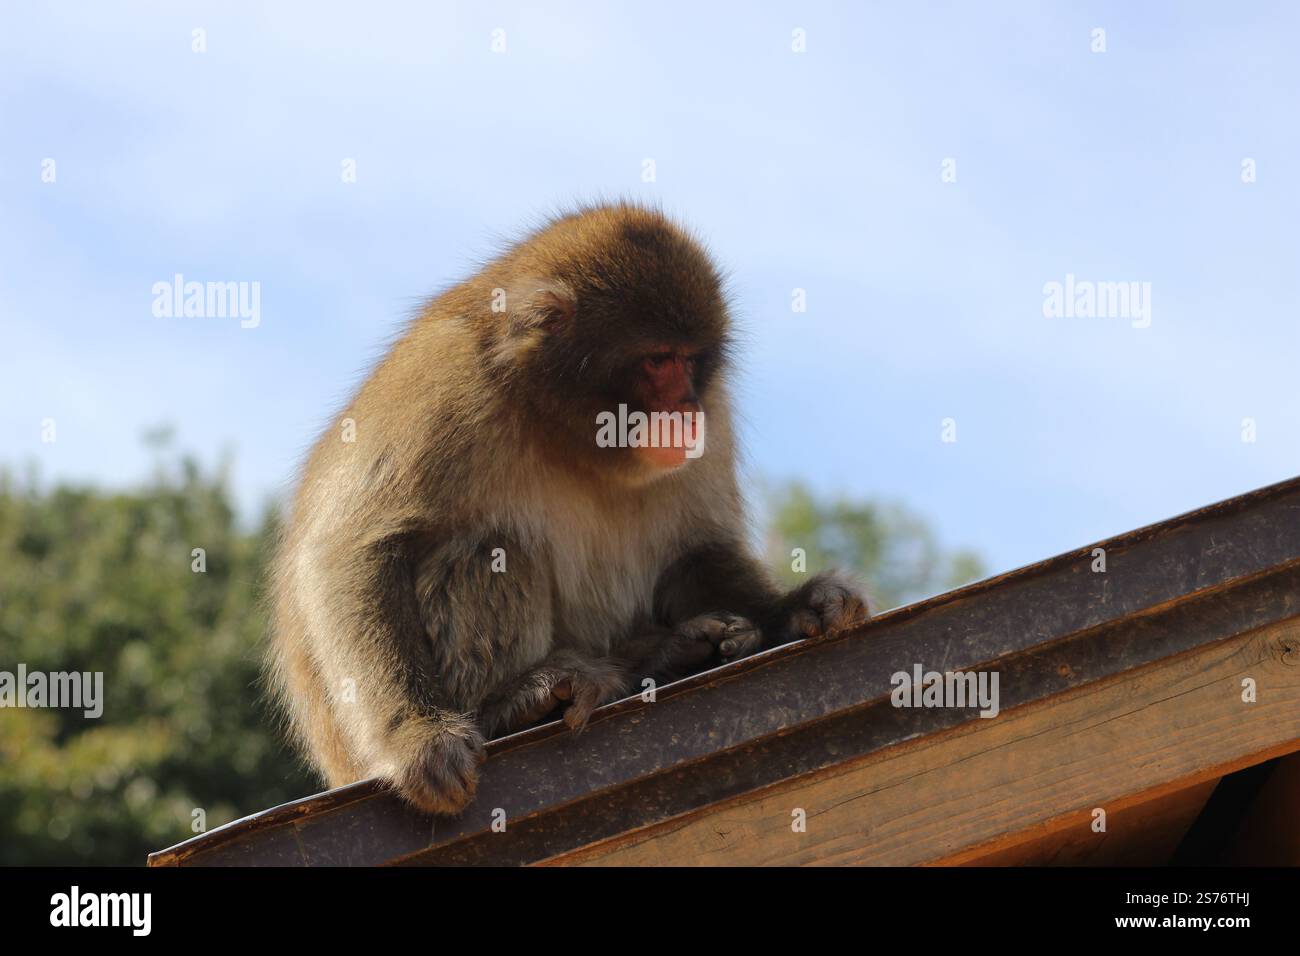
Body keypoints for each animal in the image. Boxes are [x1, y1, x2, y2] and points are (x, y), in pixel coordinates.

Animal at [267, 202, 869, 815]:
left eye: (690, 360)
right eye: (658, 360)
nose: (685, 408)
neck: (566, 432)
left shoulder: (715, 411)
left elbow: (697, 551)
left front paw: (793, 607)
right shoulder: (447, 384)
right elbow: (356, 548)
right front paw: (416, 737)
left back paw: (667, 654)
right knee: (492, 548)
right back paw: (513, 704)